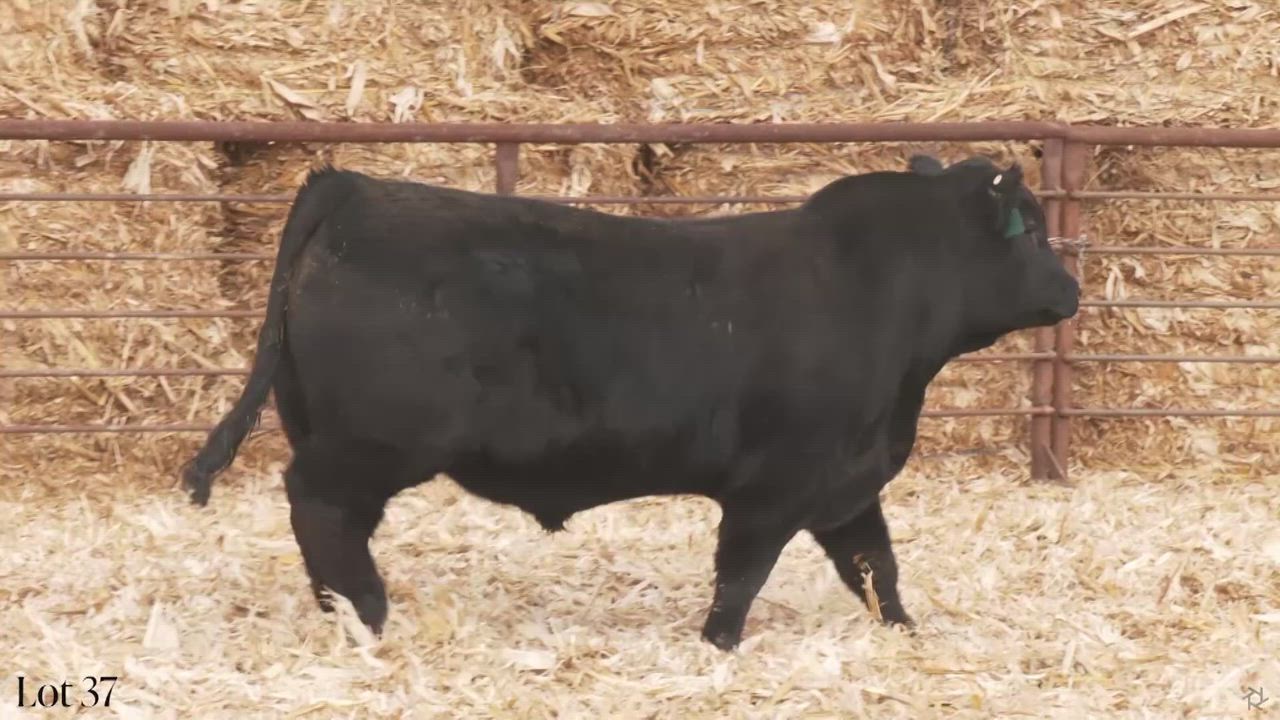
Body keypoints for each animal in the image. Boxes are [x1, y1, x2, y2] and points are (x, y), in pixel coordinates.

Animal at [182, 153, 1079, 651]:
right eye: (1031, 232)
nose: (1071, 289)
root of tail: (354, 186)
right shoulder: (774, 487)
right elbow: (740, 577)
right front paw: (717, 647)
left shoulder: (847, 485)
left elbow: (876, 568)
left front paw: (905, 634)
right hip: (373, 443)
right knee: (319, 506)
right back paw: (366, 612)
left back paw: (343, 609)